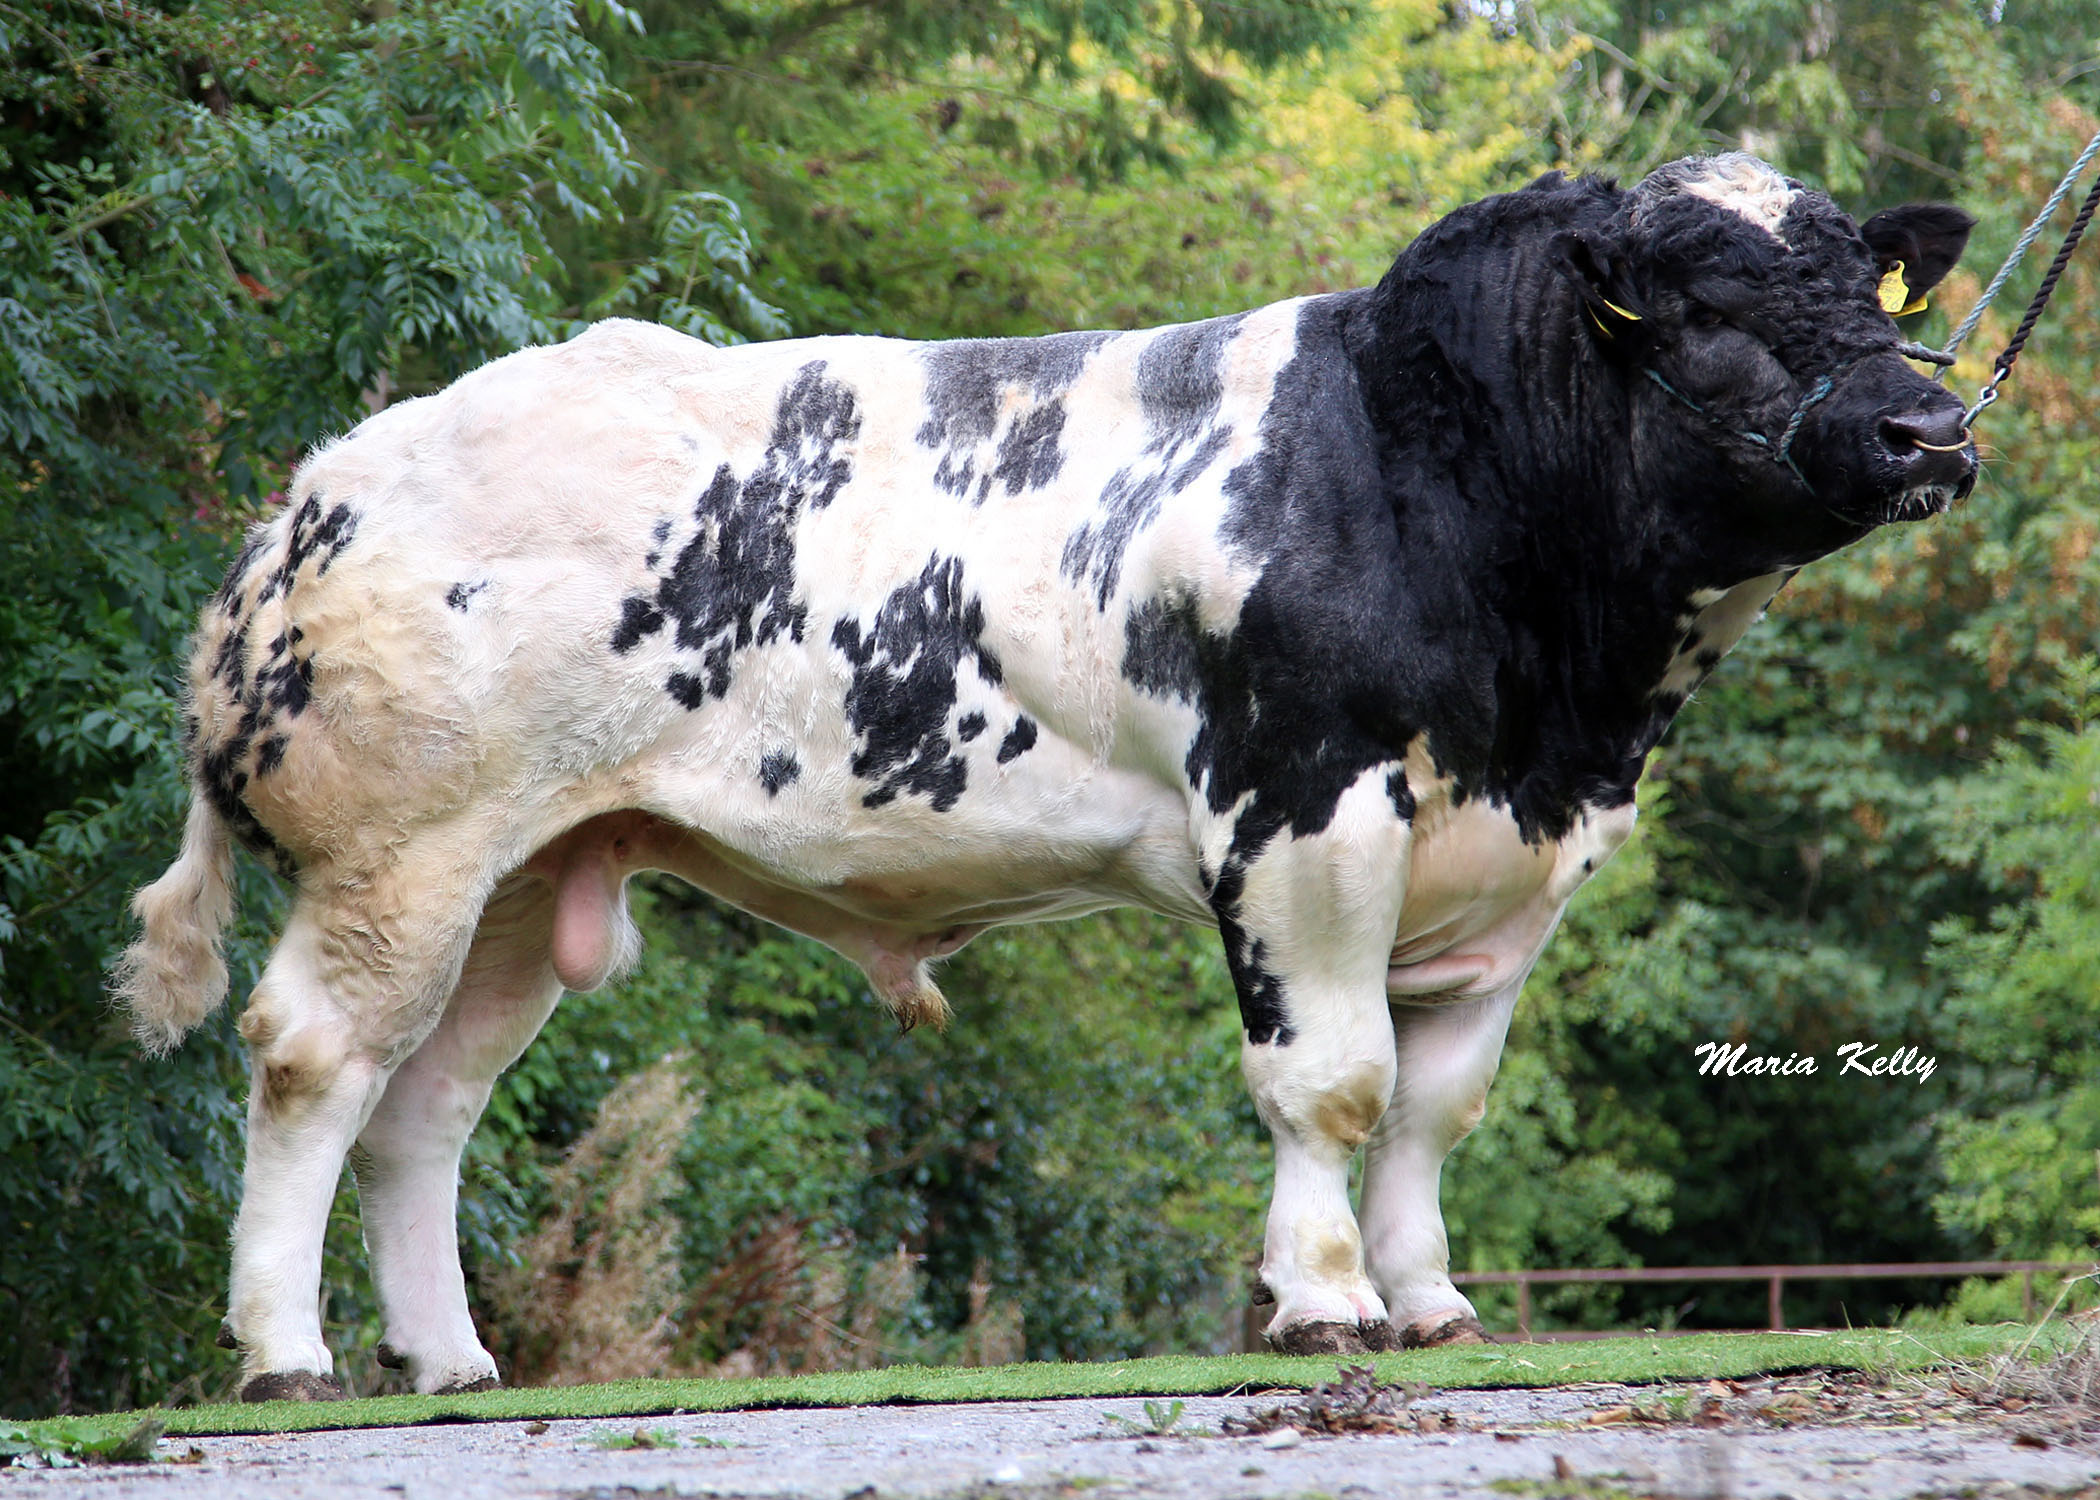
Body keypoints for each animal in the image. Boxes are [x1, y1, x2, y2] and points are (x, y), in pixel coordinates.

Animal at [116, 152, 1976, 1399]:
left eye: (1878, 297)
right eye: (1713, 313)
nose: (1929, 433)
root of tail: (324, 489)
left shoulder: (1511, 870)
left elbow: (1433, 1107)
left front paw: (1432, 1303)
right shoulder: (1302, 816)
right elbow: (1334, 1083)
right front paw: (1322, 1304)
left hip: (523, 873)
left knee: (423, 1108)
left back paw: (449, 1359)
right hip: (403, 852)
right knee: (312, 1063)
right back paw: (286, 1355)